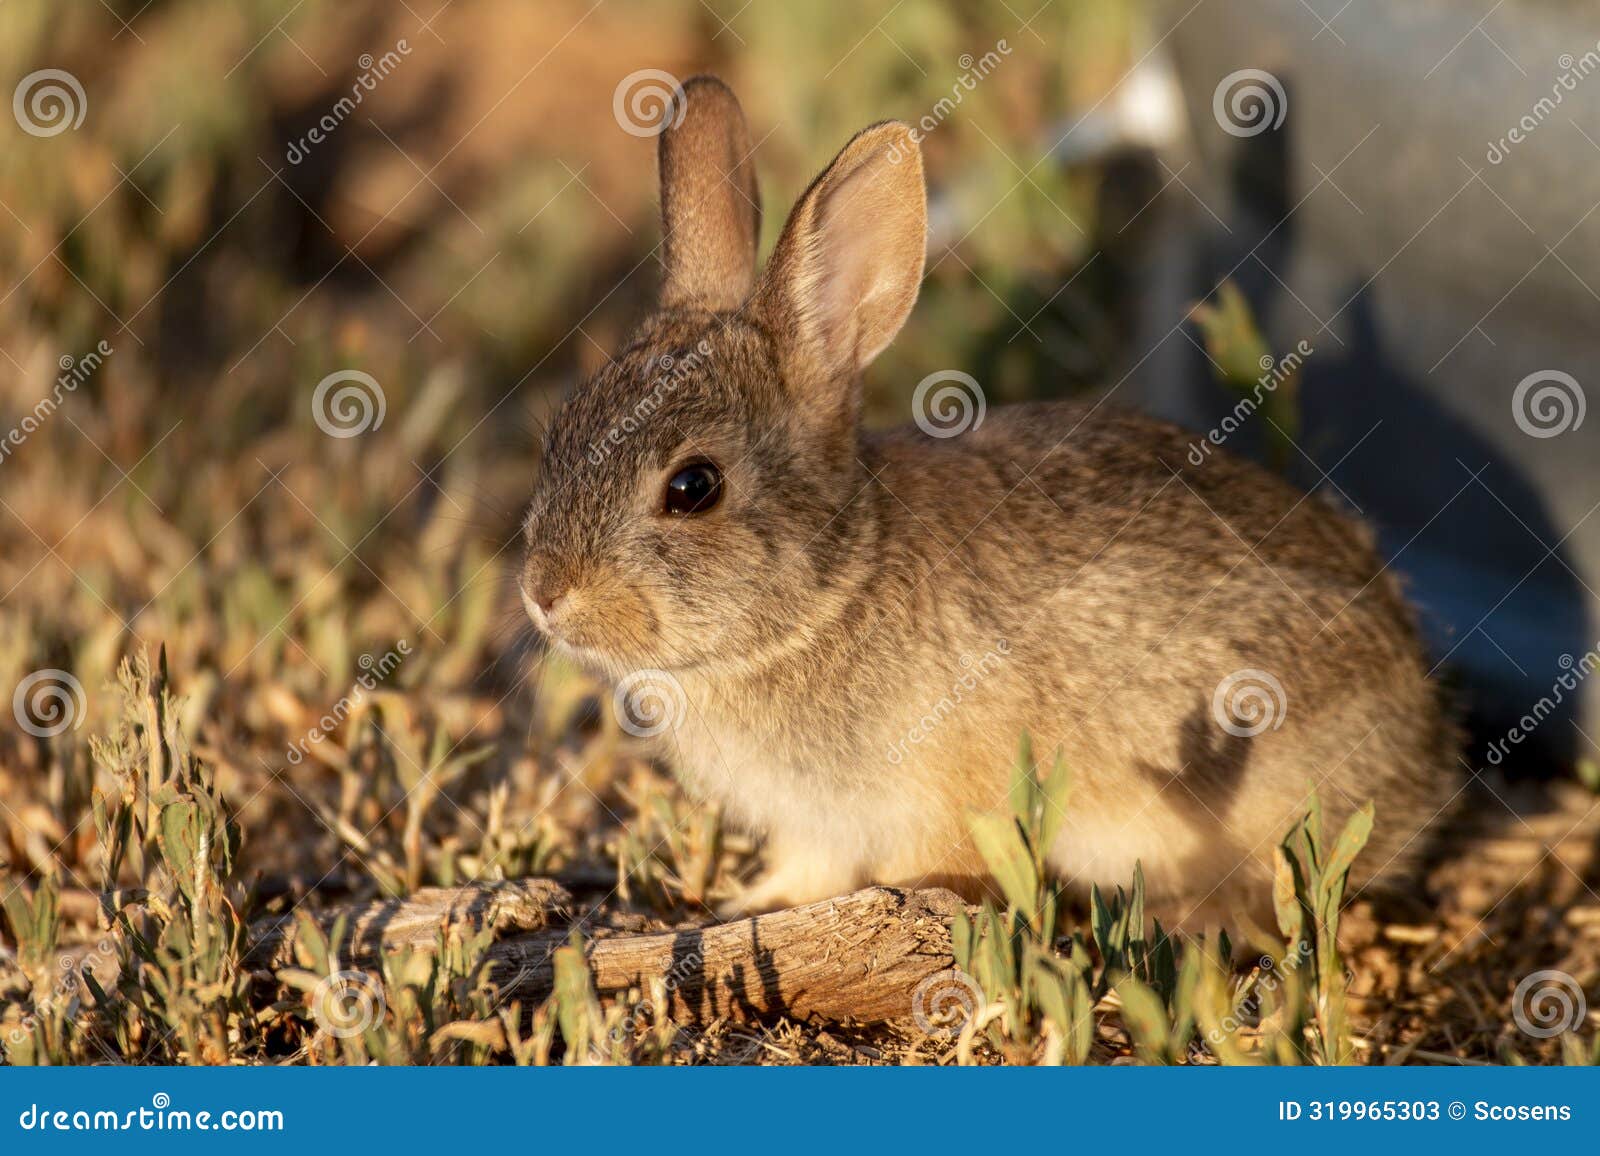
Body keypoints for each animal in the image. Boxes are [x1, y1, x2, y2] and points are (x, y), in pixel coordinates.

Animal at [520, 75, 1458, 928]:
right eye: (561, 429)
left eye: (693, 487)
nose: (546, 595)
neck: (826, 597)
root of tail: (1422, 746)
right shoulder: (816, 828)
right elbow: (805, 870)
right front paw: (749, 910)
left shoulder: (940, 797)